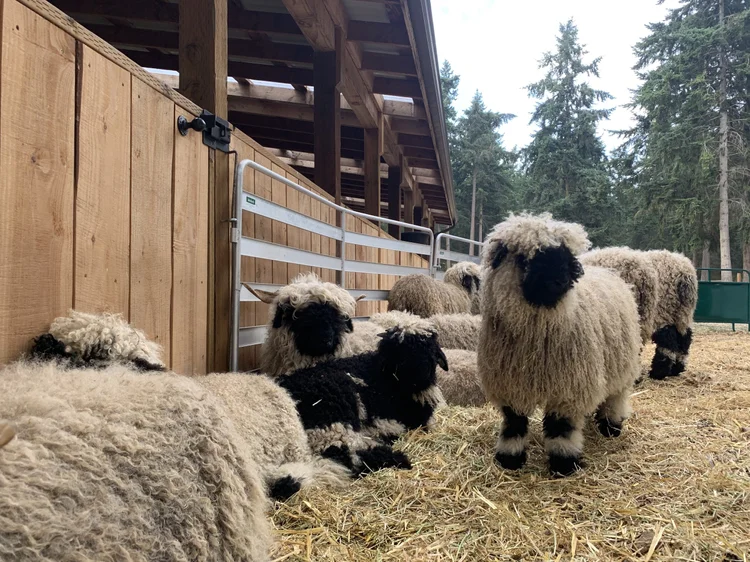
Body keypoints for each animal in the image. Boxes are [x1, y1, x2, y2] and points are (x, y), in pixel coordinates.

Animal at [275, 323, 447, 475]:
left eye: (431, 349)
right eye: (400, 352)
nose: (423, 374)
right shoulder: (384, 419)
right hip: (334, 415)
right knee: (348, 456)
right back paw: (397, 459)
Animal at [478, 213, 642, 476]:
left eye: (565, 257)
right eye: (525, 258)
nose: (560, 280)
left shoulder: (569, 386)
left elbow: (561, 427)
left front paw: (564, 463)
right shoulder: (510, 383)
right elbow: (514, 423)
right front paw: (509, 458)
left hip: (622, 364)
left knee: (616, 396)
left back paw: (611, 426)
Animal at [580, 247, 698, 379]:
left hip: (658, 310)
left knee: (664, 339)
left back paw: (656, 373)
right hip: (681, 312)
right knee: (684, 338)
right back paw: (675, 369)